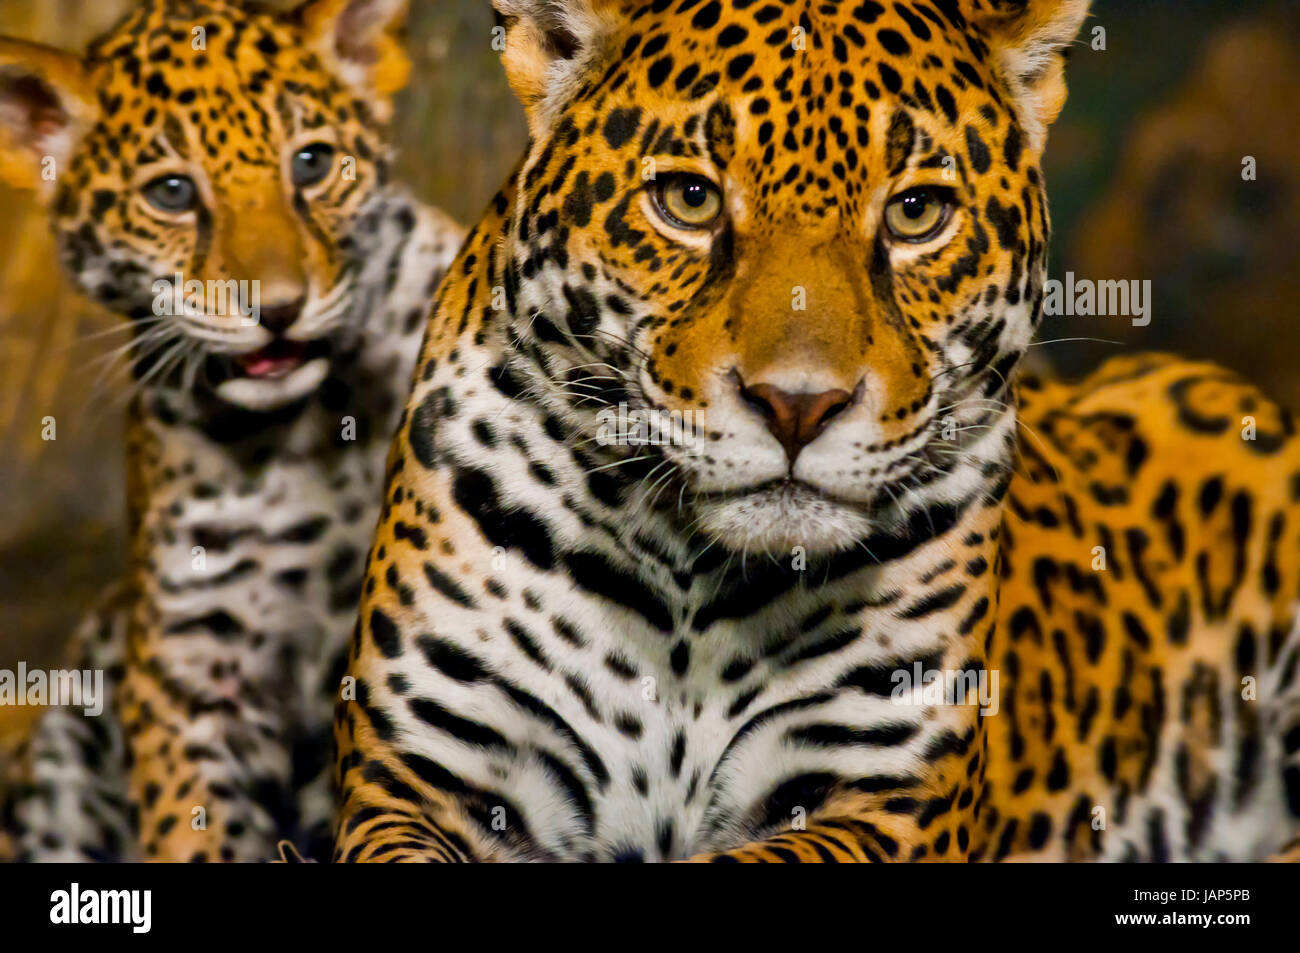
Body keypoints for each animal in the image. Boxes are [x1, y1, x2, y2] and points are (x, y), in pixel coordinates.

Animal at [0, 0, 463, 862]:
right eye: (172, 193)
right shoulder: (191, 657)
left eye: (312, 165)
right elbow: (194, 824)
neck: (317, 431)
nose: (277, 308)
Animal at [330, 0, 1300, 862]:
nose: (797, 404)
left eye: (916, 212)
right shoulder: (417, 777)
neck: (687, 592)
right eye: (688, 199)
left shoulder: (884, 799)